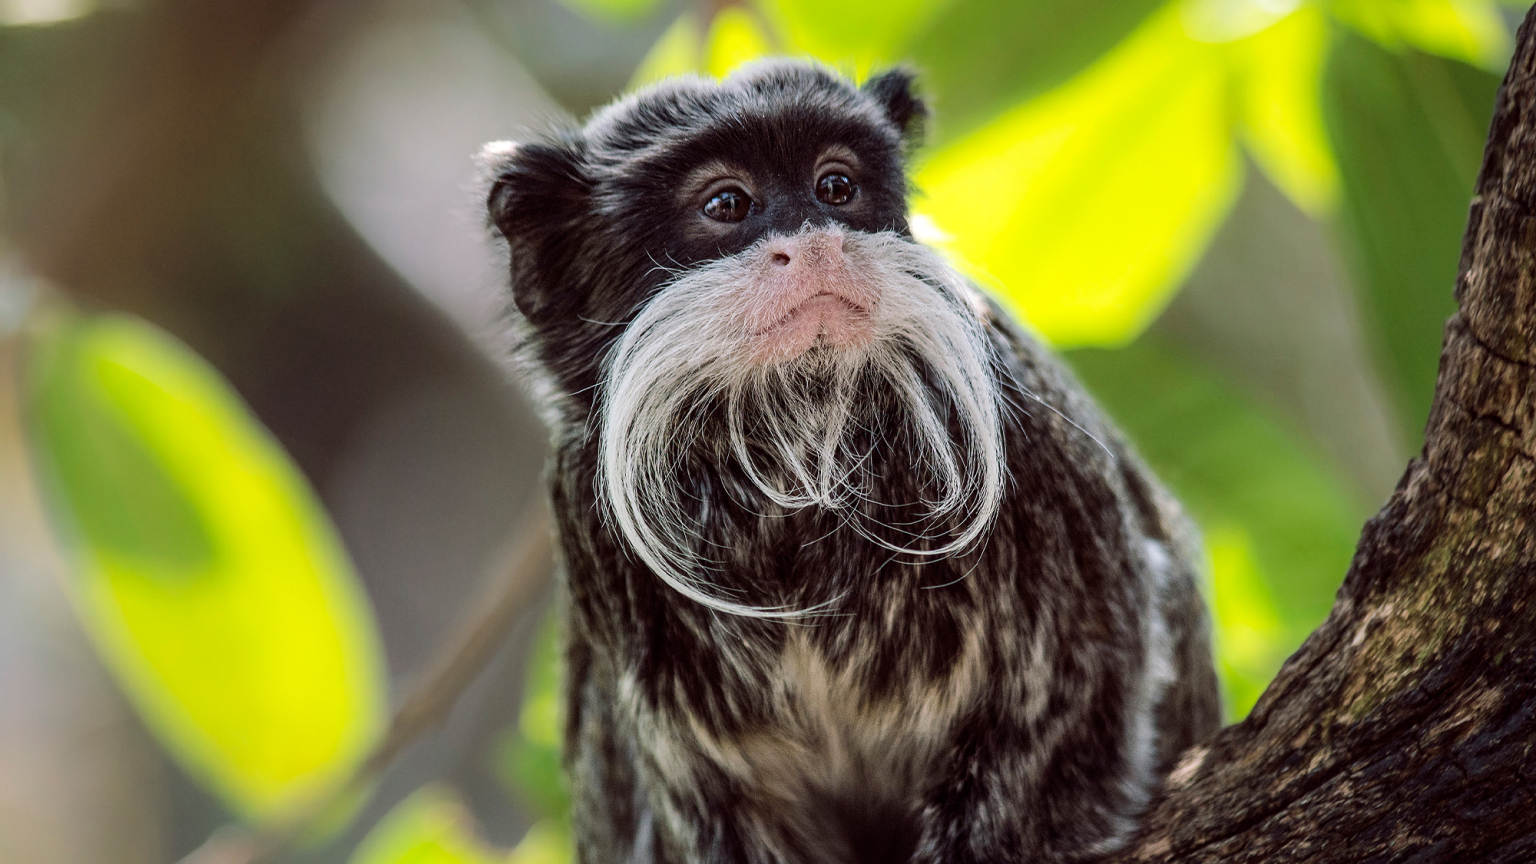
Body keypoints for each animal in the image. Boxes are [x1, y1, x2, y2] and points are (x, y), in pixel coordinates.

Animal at [483, 61, 1220, 864]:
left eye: (835, 187)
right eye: (726, 203)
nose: (816, 243)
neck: (796, 452)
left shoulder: (1029, 436)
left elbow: (1084, 669)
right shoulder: (588, 513)